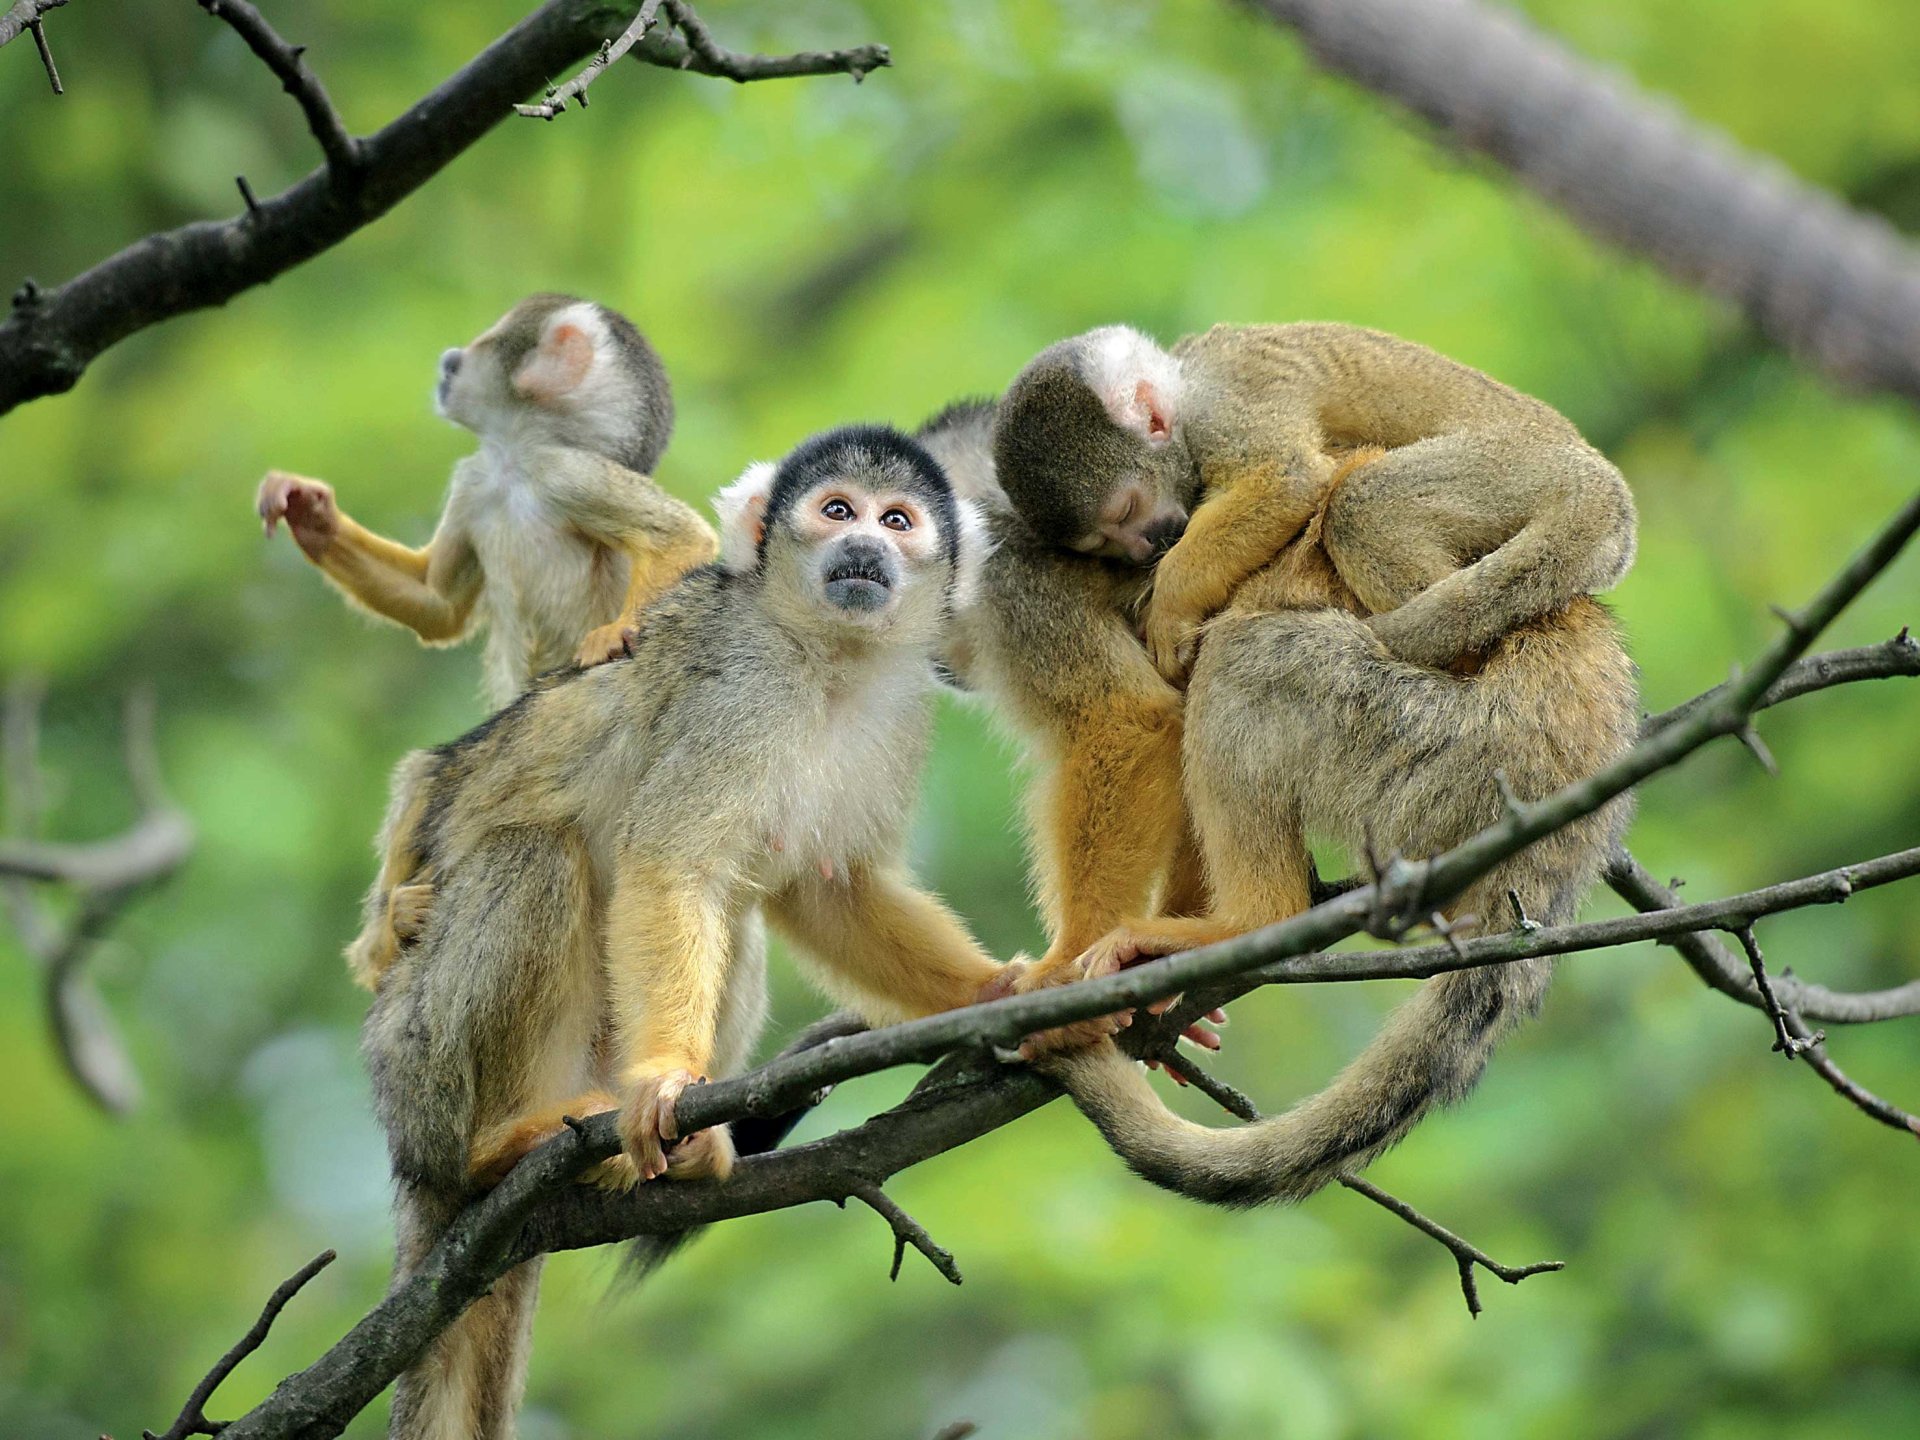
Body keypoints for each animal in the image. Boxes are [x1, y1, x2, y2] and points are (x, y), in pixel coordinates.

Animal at [361, 425, 1004, 1439]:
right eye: (836, 510)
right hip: (412, 1064)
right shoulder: (732, 693)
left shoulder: (898, 709)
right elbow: (671, 864)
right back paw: (494, 1147)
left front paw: (1011, 991)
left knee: (736, 922)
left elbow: (830, 890)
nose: (864, 548)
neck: (823, 658)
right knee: (537, 858)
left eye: (898, 521)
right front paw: (667, 1076)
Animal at [918, 320, 1638, 1205]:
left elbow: (1132, 720)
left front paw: (1064, 982)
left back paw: (1252, 920)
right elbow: (1167, 727)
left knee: (1264, 632)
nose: (1153, 543)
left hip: (1452, 738)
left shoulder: (1019, 586)